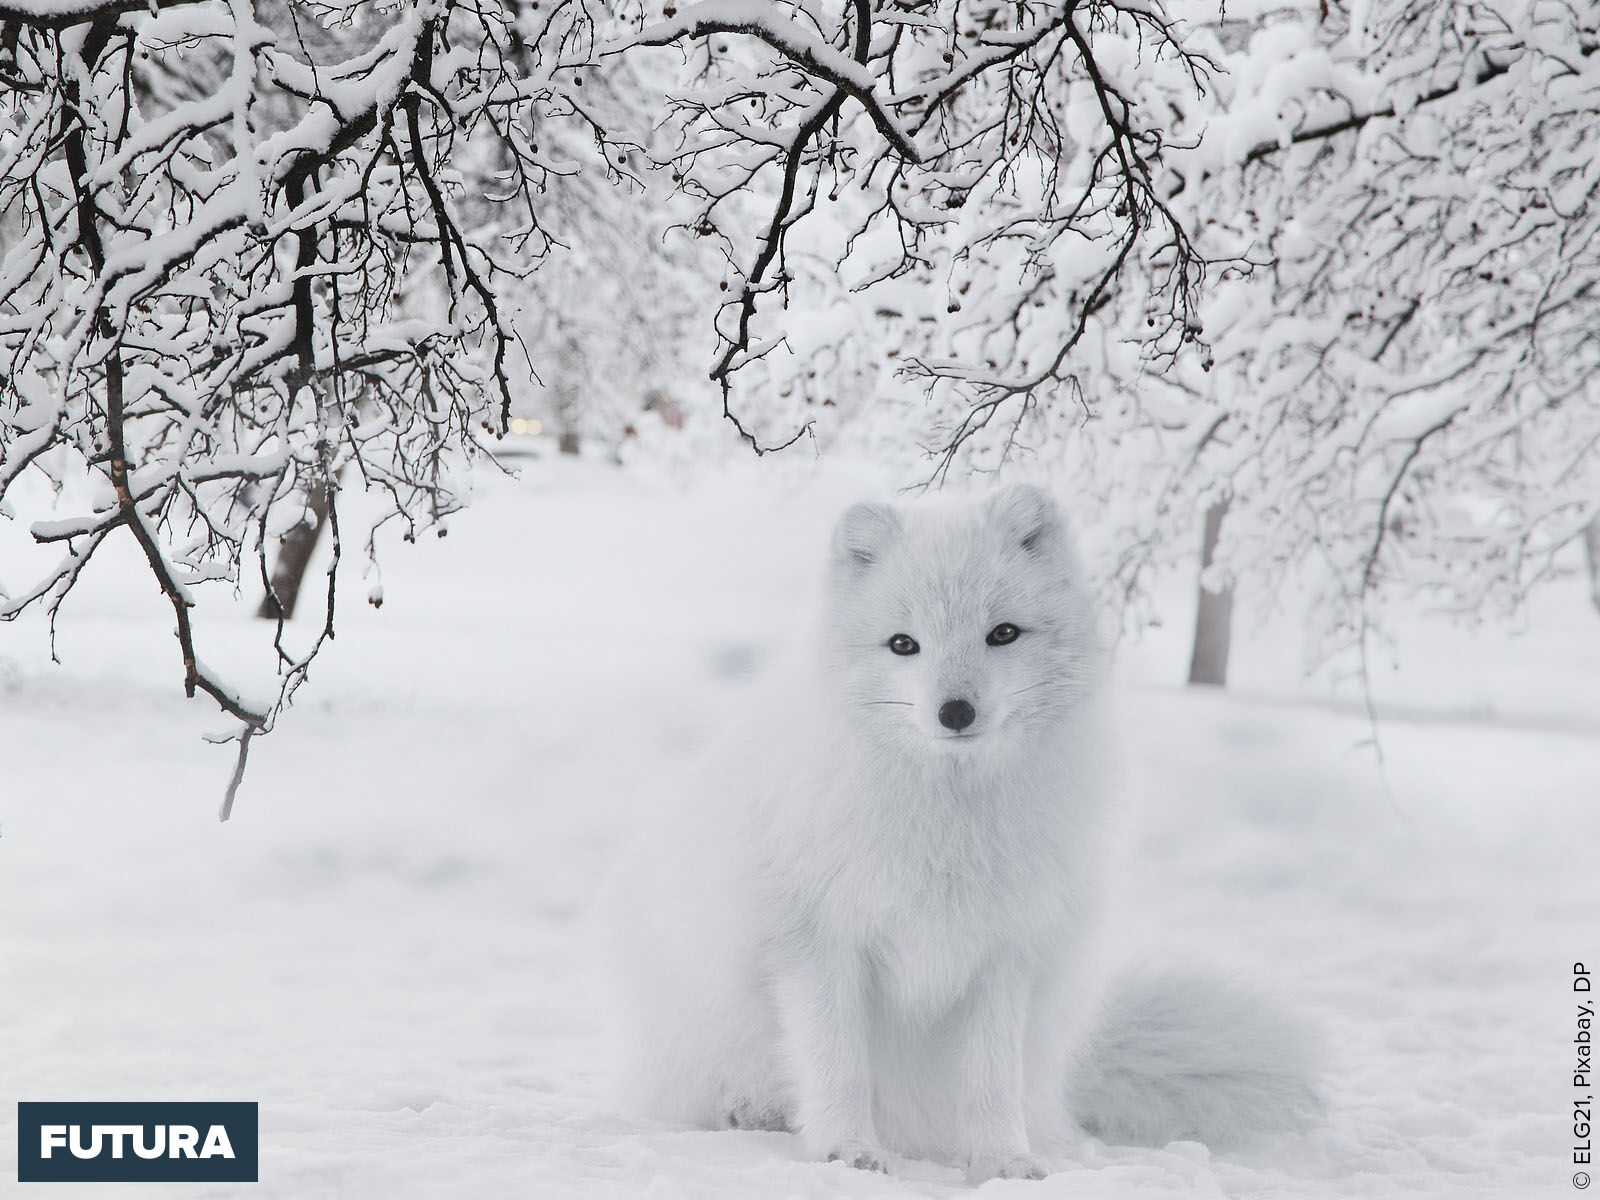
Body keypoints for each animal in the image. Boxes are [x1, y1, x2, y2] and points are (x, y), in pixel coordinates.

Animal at [602, 484, 1320, 1183]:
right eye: (903, 644)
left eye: (1002, 633)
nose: (955, 712)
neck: (949, 821)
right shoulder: (818, 943)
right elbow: (839, 1066)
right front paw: (846, 1152)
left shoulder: (1003, 954)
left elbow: (991, 1080)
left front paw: (1003, 1161)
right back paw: (753, 1111)